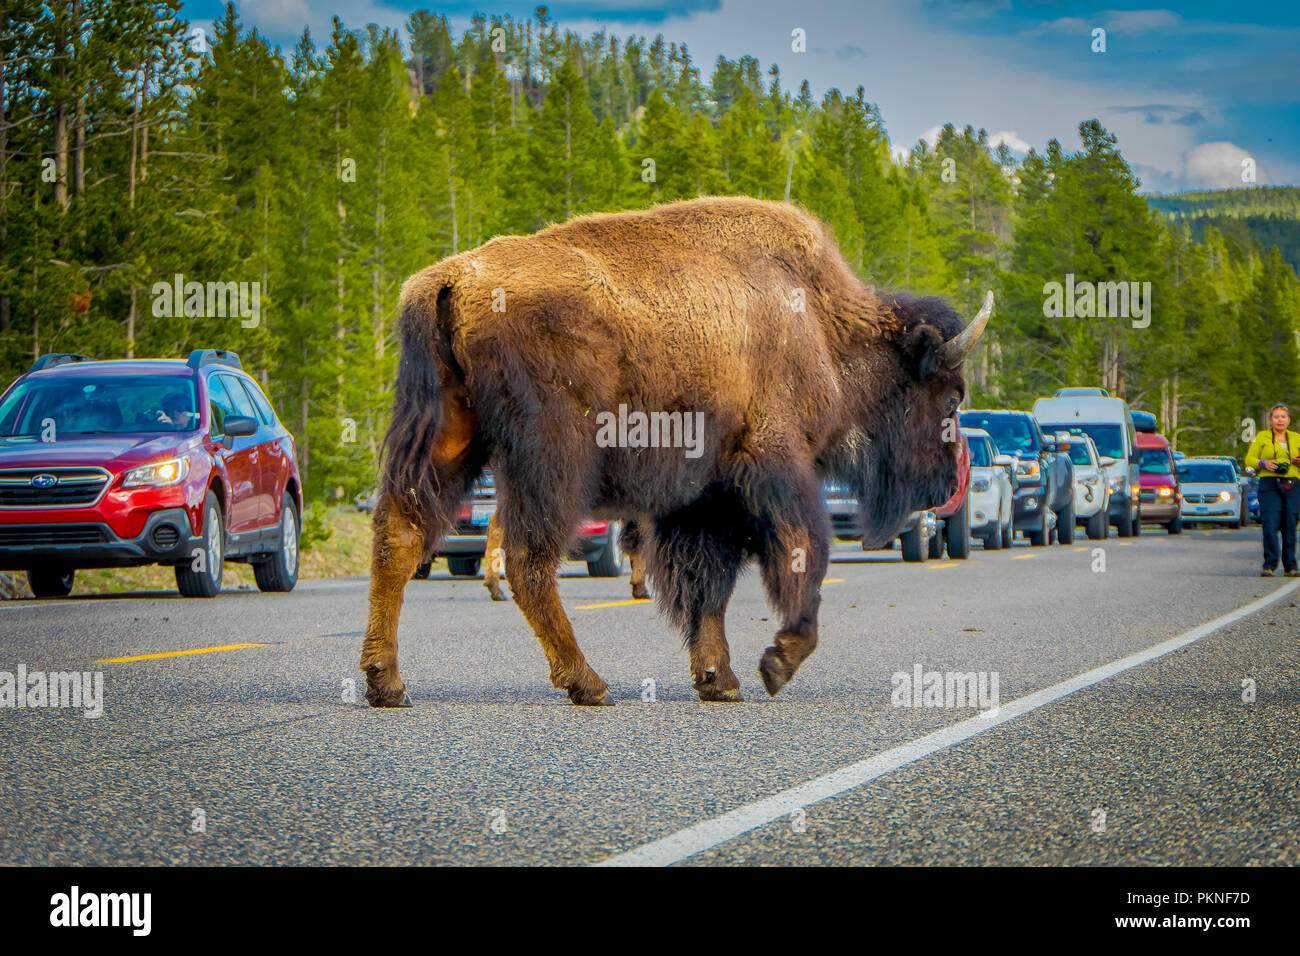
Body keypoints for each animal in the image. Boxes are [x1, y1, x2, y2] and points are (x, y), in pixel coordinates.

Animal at [360, 196, 991, 707]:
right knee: (528, 560)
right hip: (553, 458)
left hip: (451, 436)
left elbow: (707, 582)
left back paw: (386, 683)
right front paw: (778, 661)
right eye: (951, 398)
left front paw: (719, 680)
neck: (818, 321)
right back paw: (588, 684)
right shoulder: (773, 463)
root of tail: (451, 279)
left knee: (401, 534)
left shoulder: (702, 497)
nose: (946, 484)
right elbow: (801, 551)